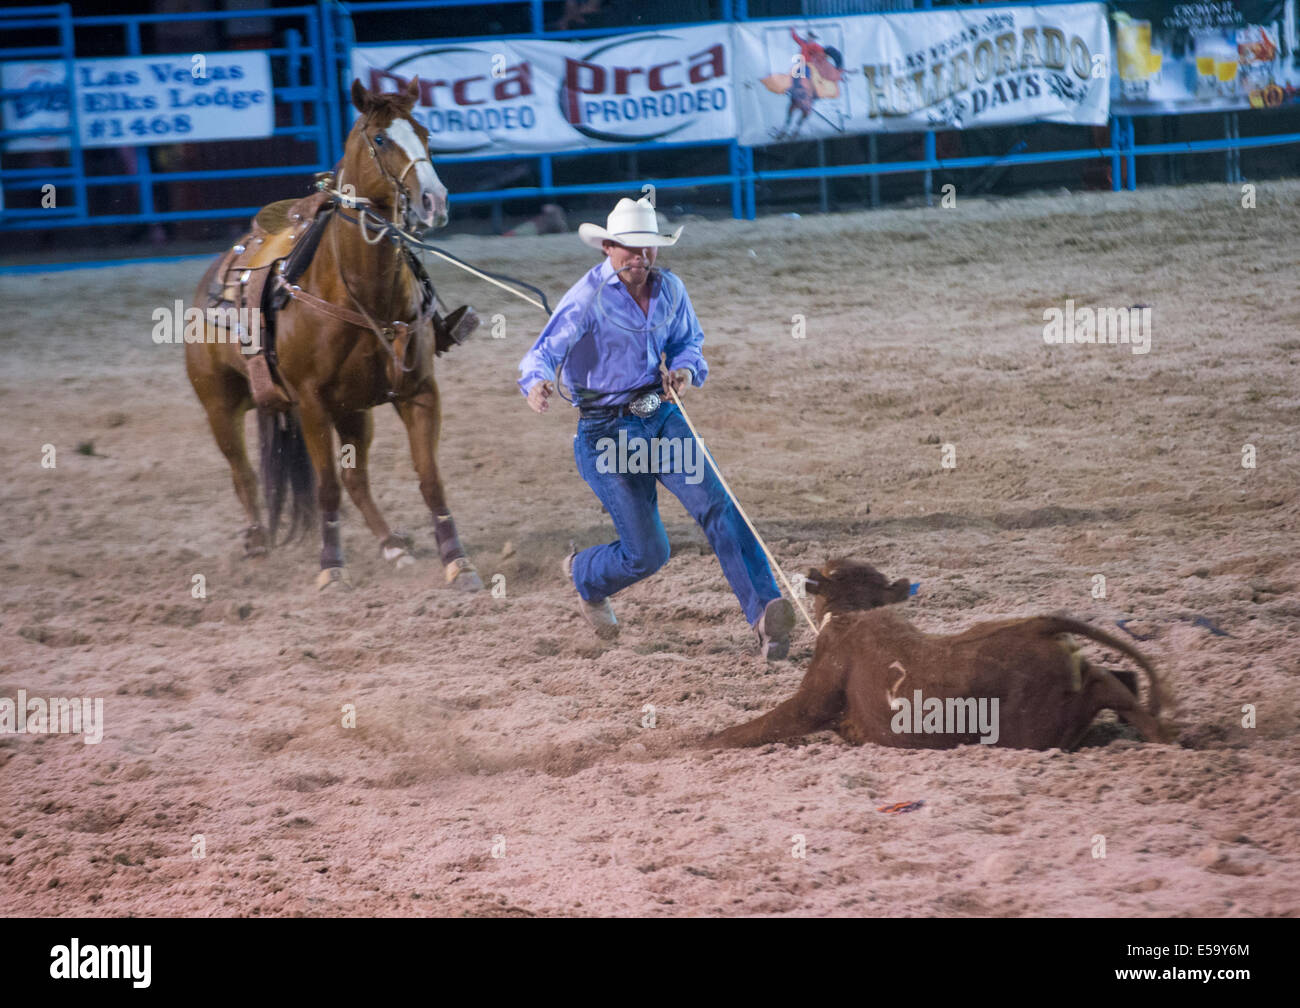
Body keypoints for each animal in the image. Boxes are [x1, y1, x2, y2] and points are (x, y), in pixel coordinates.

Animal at [709, 559, 1175, 751]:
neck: (850, 616)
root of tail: (1037, 624)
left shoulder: (817, 695)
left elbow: (767, 723)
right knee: (1117, 677)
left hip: (1032, 730)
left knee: (1106, 683)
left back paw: (1156, 731)